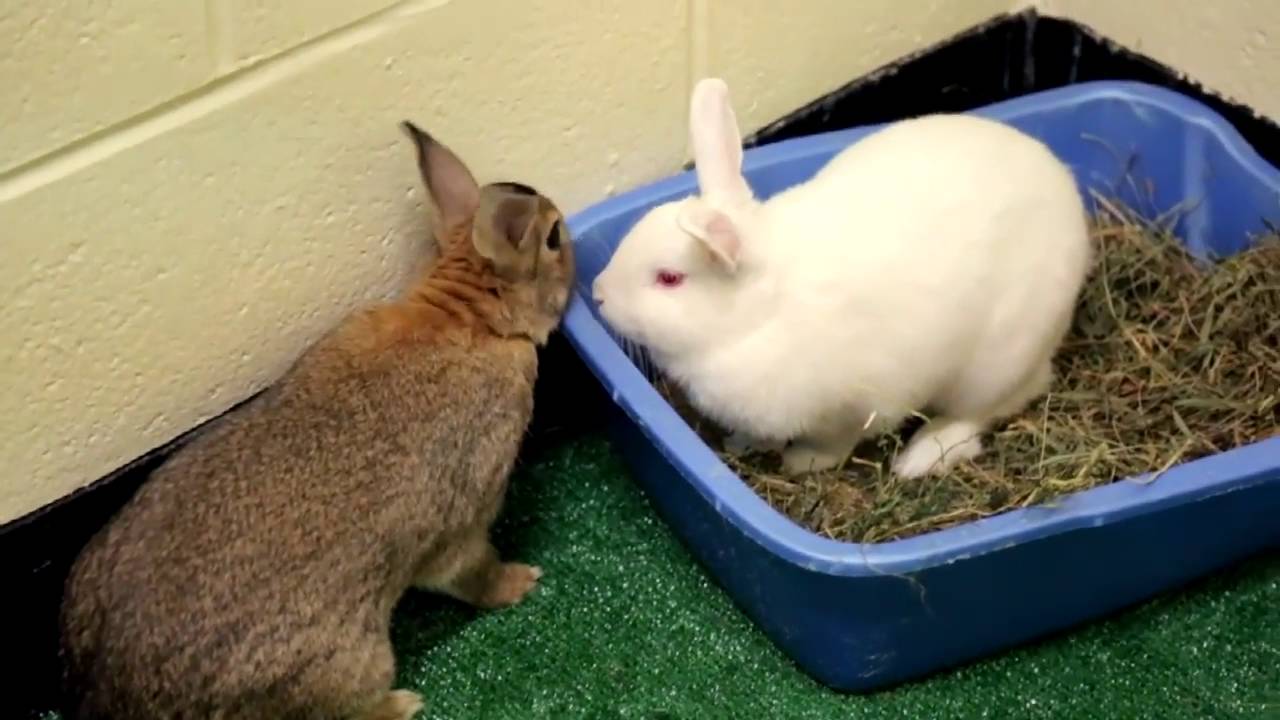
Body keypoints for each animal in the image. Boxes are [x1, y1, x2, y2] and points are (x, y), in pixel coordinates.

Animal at [58, 120, 576, 720]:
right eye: (553, 239)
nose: (572, 237)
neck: (470, 320)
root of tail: (110, 701)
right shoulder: (465, 518)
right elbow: (469, 570)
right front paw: (520, 582)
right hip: (357, 662)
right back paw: (403, 703)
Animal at [591, 77, 1091, 479]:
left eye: (669, 278)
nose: (597, 294)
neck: (752, 323)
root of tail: (1065, 185)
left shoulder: (850, 409)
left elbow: (832, 444)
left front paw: (801, 462)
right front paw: (742, 443)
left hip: (995, 362)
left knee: (991, 407)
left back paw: (921, 457)